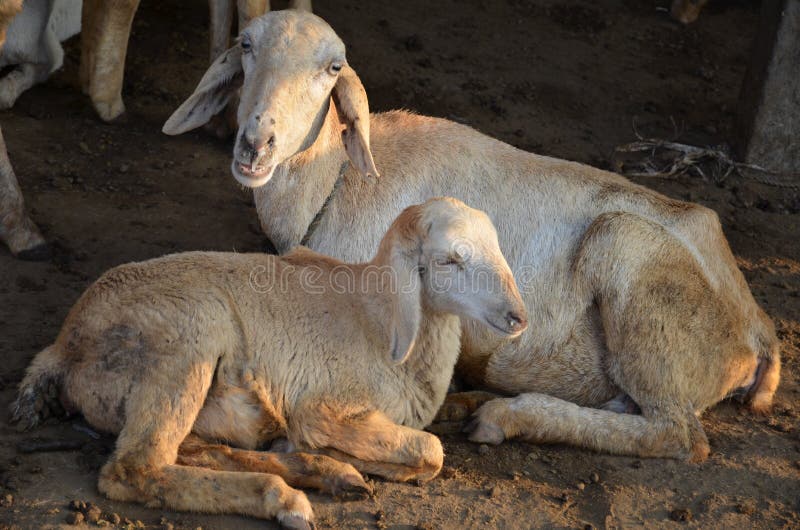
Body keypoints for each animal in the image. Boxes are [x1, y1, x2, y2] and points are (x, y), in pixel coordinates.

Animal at [12, 197, 528, 528]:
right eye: (448, 260)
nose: (519, 317)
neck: (380, 322)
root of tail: (62, 347)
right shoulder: (324, 408)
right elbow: (430, 451)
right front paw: (352, 455)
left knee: (199, 450)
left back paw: (325, 474)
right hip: (189, 336)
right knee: (136, 468)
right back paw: (286, 497)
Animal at [163, 10, 781, 462]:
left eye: (333, 67)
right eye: (246, 45)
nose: (255, 143)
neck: (334, 181)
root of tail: (757, 326)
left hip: (631, 261)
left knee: (679, 435)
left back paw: (505, 417)